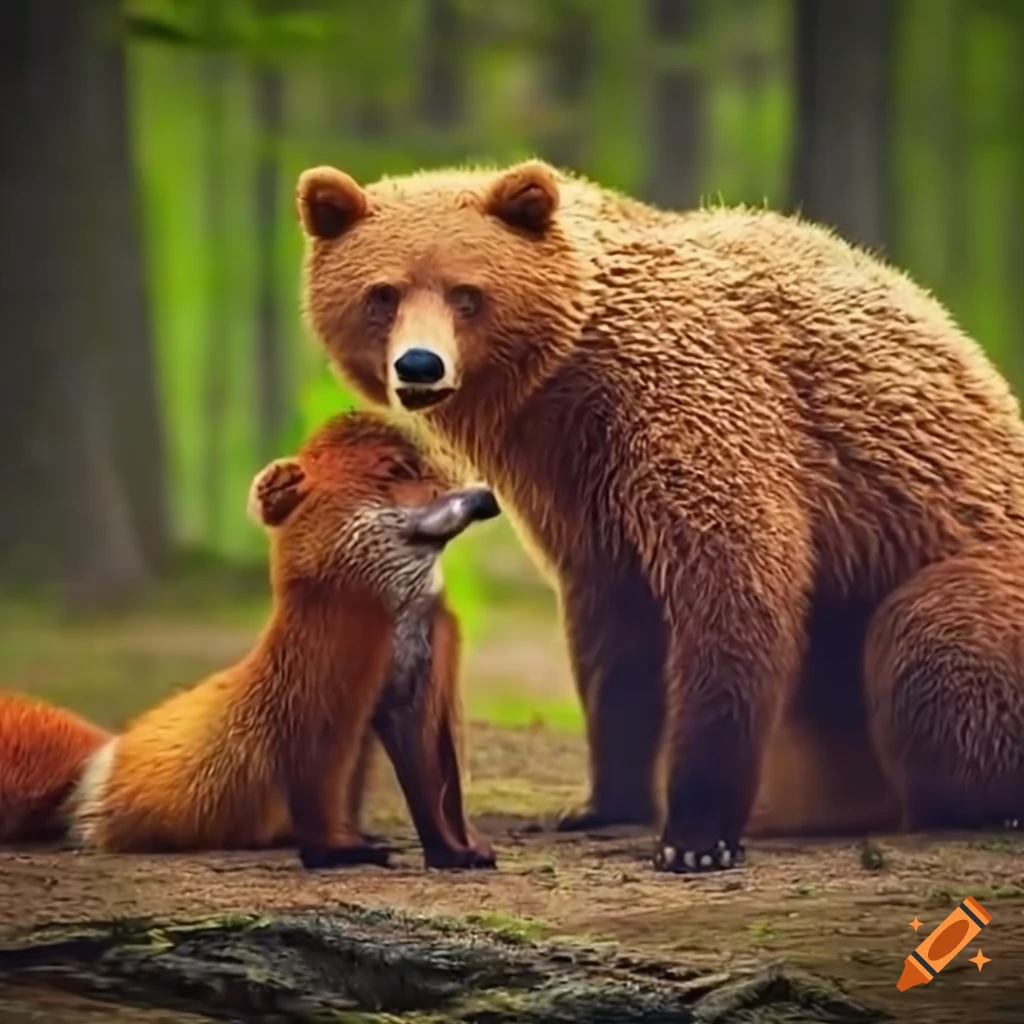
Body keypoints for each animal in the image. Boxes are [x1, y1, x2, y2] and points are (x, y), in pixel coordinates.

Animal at [0, 412, 499, 869]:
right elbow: (324, 793)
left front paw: (458, 855)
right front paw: (342, 853)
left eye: (434, 464)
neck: (394, 622)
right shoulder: (326, 704)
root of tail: (97, 762)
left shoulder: (415, 695)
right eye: (398, 470)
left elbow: (436, 790)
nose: (486, 495)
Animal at [293, 157, 1024, 873]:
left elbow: (732, 581)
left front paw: (694, 837)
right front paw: (598, 803)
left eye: (466, 293)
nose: (420, 365)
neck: (565, 383)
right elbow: (614, 636)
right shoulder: (576, 489)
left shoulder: (689, 396)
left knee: (927, 638)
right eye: (382, 293)